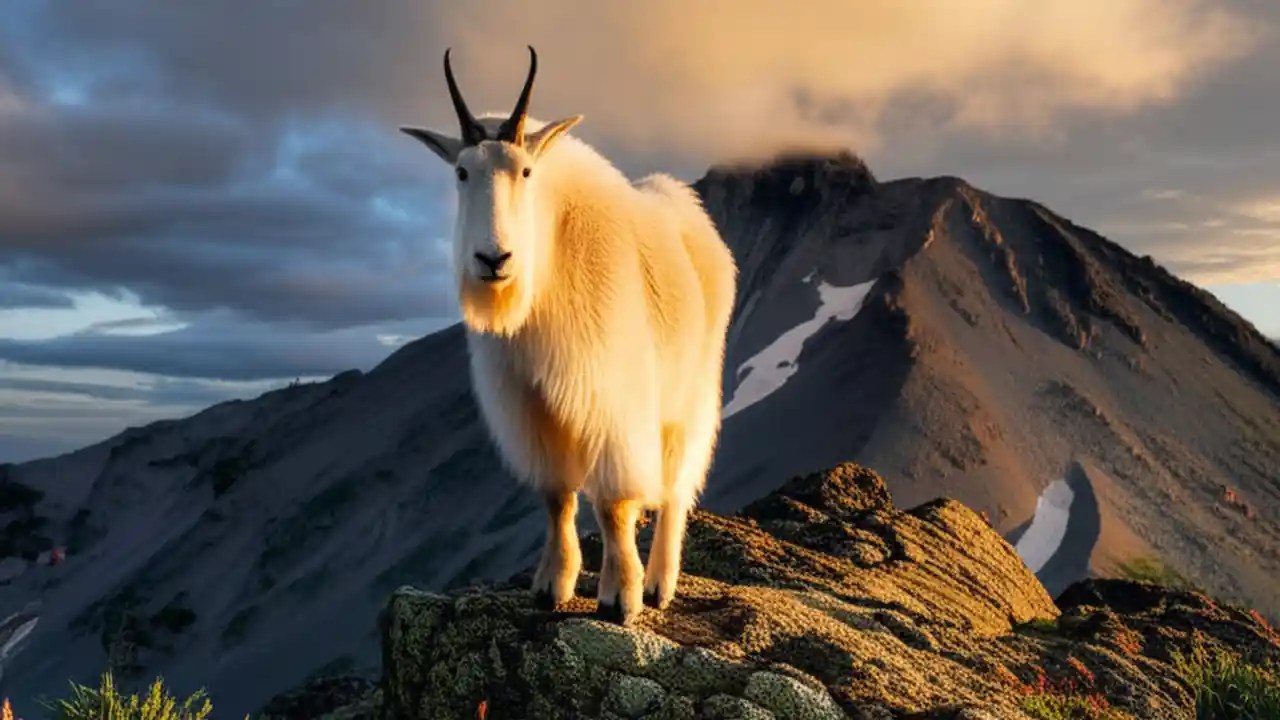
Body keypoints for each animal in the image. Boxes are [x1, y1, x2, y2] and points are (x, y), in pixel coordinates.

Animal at [401, 46, 736, 624]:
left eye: (526, 170)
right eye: (462, 172)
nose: (494, 259)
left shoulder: (613, 402)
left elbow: (613, 503)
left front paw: (619, 597)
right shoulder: (533, 408)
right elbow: (557, 497)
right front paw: (550, 585)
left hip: (689, 395)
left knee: (676, 487)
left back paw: (658, 584)